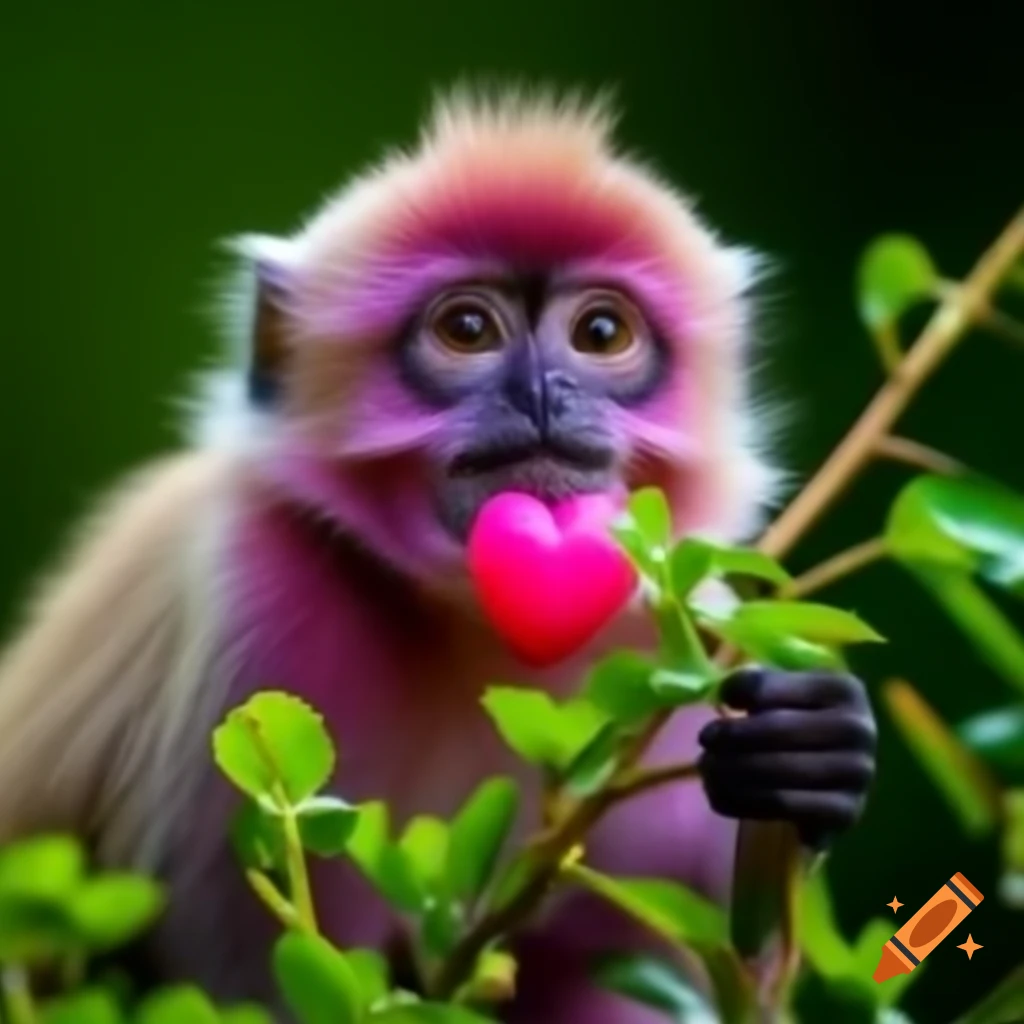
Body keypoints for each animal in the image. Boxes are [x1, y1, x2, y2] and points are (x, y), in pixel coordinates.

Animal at [0, 89, 877, 1022]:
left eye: (602, 331)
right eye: (467, 327)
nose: (541, 391)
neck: (470, 624)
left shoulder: (681, 636)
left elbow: (713, 962)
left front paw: (812, 752)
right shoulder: (258, 600)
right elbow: (252, 975)